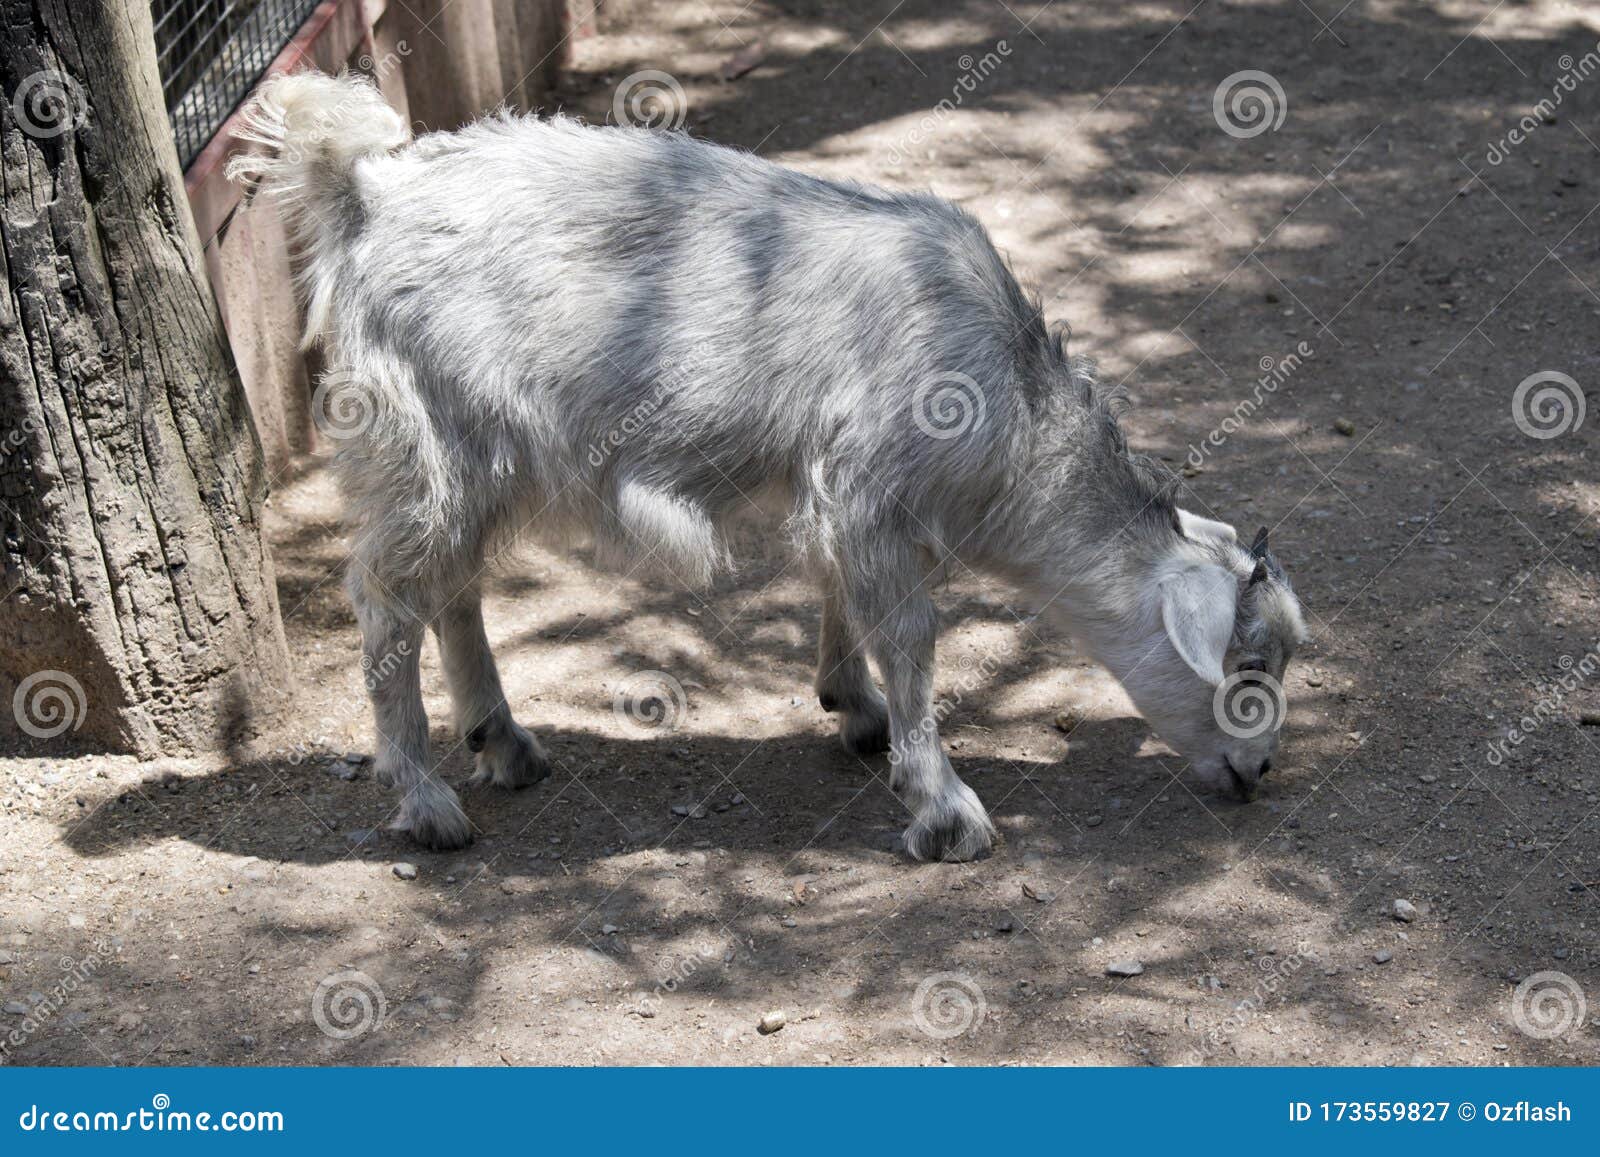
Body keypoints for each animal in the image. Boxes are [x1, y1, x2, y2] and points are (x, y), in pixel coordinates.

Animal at [229, 72, 1308, 860]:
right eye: (1248, 663)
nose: (1256, 775)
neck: (1009, 411)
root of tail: (366, 190)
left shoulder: (840, 488)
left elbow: (838, 589)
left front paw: (853, 707)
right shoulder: (872, 485)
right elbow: (911, 633)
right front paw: (945, 806)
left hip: (478, 460)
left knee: (453, 588)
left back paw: (506, 742)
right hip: (421, 445)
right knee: (387, 601)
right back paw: (424, 798)